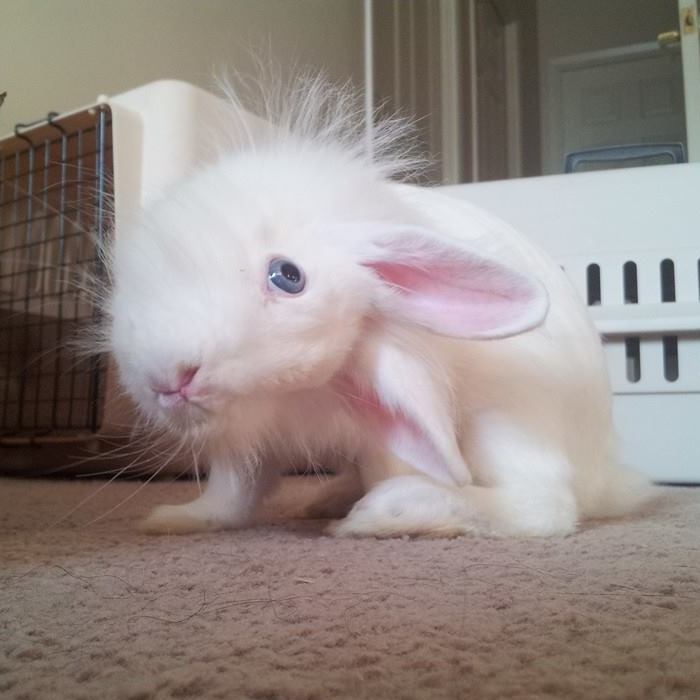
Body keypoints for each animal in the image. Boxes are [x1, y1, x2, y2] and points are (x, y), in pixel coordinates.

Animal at [105, 76, 652, 538]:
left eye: (287, 276)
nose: (181, 383)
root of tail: (604, 477)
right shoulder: (251, 439)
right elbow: (233, 493)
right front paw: (172, 519)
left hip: (507, 421)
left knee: (545, 506)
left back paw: (379, 513)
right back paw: (326, 499)